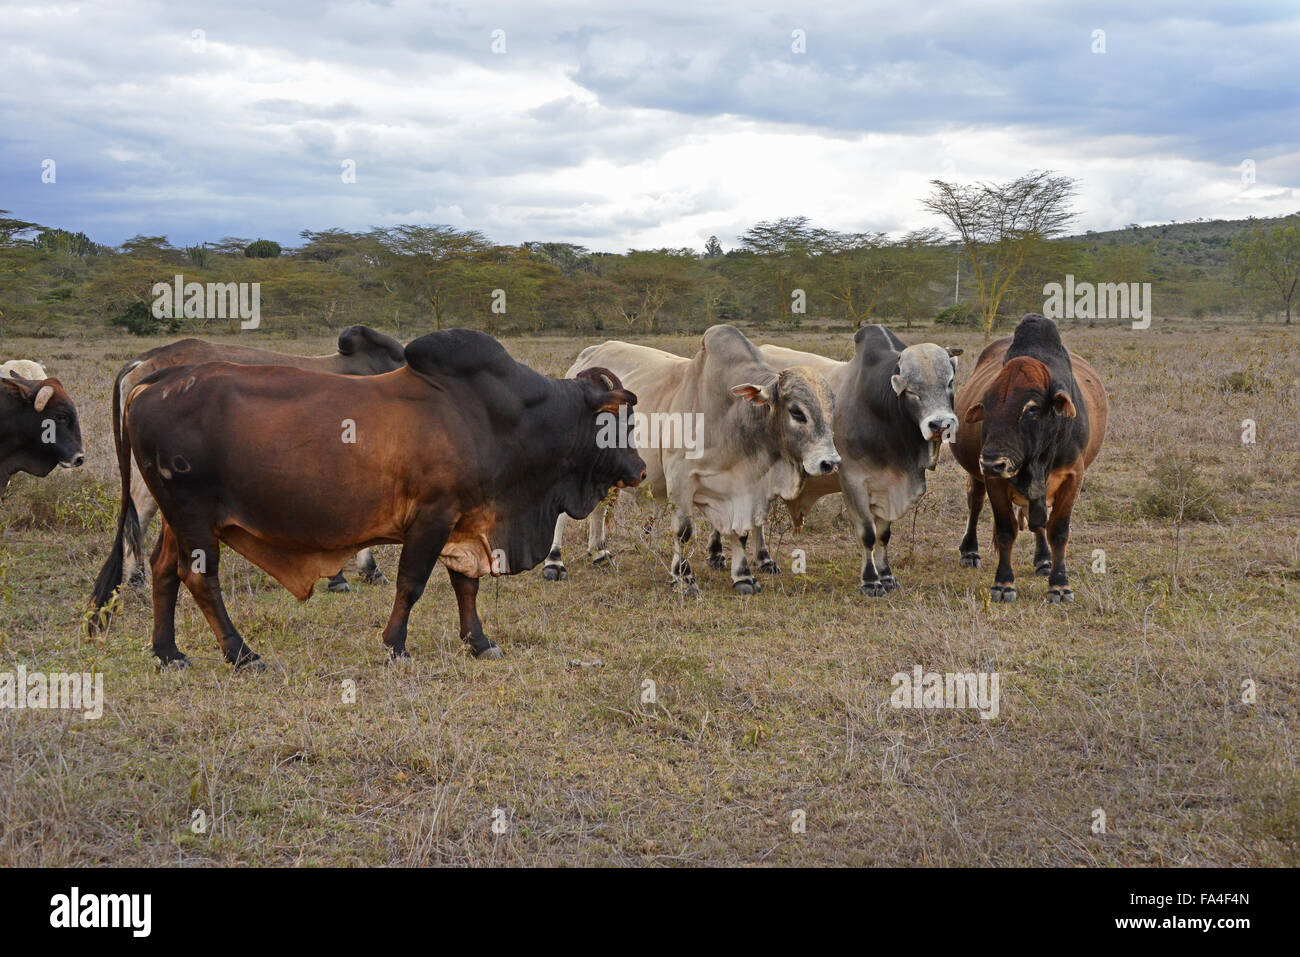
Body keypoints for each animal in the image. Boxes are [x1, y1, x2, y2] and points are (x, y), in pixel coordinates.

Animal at [542, 324, 840, 594]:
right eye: (797, 412)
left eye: (831, 410)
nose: (830, 462)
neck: (730, 418)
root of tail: (586, 356)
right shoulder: (681, 479)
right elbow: (683, 531)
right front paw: (683, 578)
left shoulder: (744, 489)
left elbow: (742, 532)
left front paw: (743, 576)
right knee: (563, 513)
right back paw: (554, 562)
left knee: (600, 507)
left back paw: (600, 553)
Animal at [703, 326, 961, 595]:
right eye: (911, 389)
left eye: (950, 382)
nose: (940, 424)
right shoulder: (853, 482)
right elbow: (868, 534)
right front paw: (871, 581)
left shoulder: (890, 487)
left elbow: (883, 535)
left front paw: (887, 576)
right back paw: (717, 554)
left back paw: (764, 559)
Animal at [952, 314, 1107, 603]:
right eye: (986, 405)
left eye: (1031, 409)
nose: (992, 462)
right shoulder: (995, 481)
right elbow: (1006, 530)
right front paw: (1003, 583)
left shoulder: (1073, 476)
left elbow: (1057, 531)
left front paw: (1060, 585)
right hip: (978, 477)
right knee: (975, 504)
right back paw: (970, 551)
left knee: (1039, 524)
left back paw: (1044, 560)